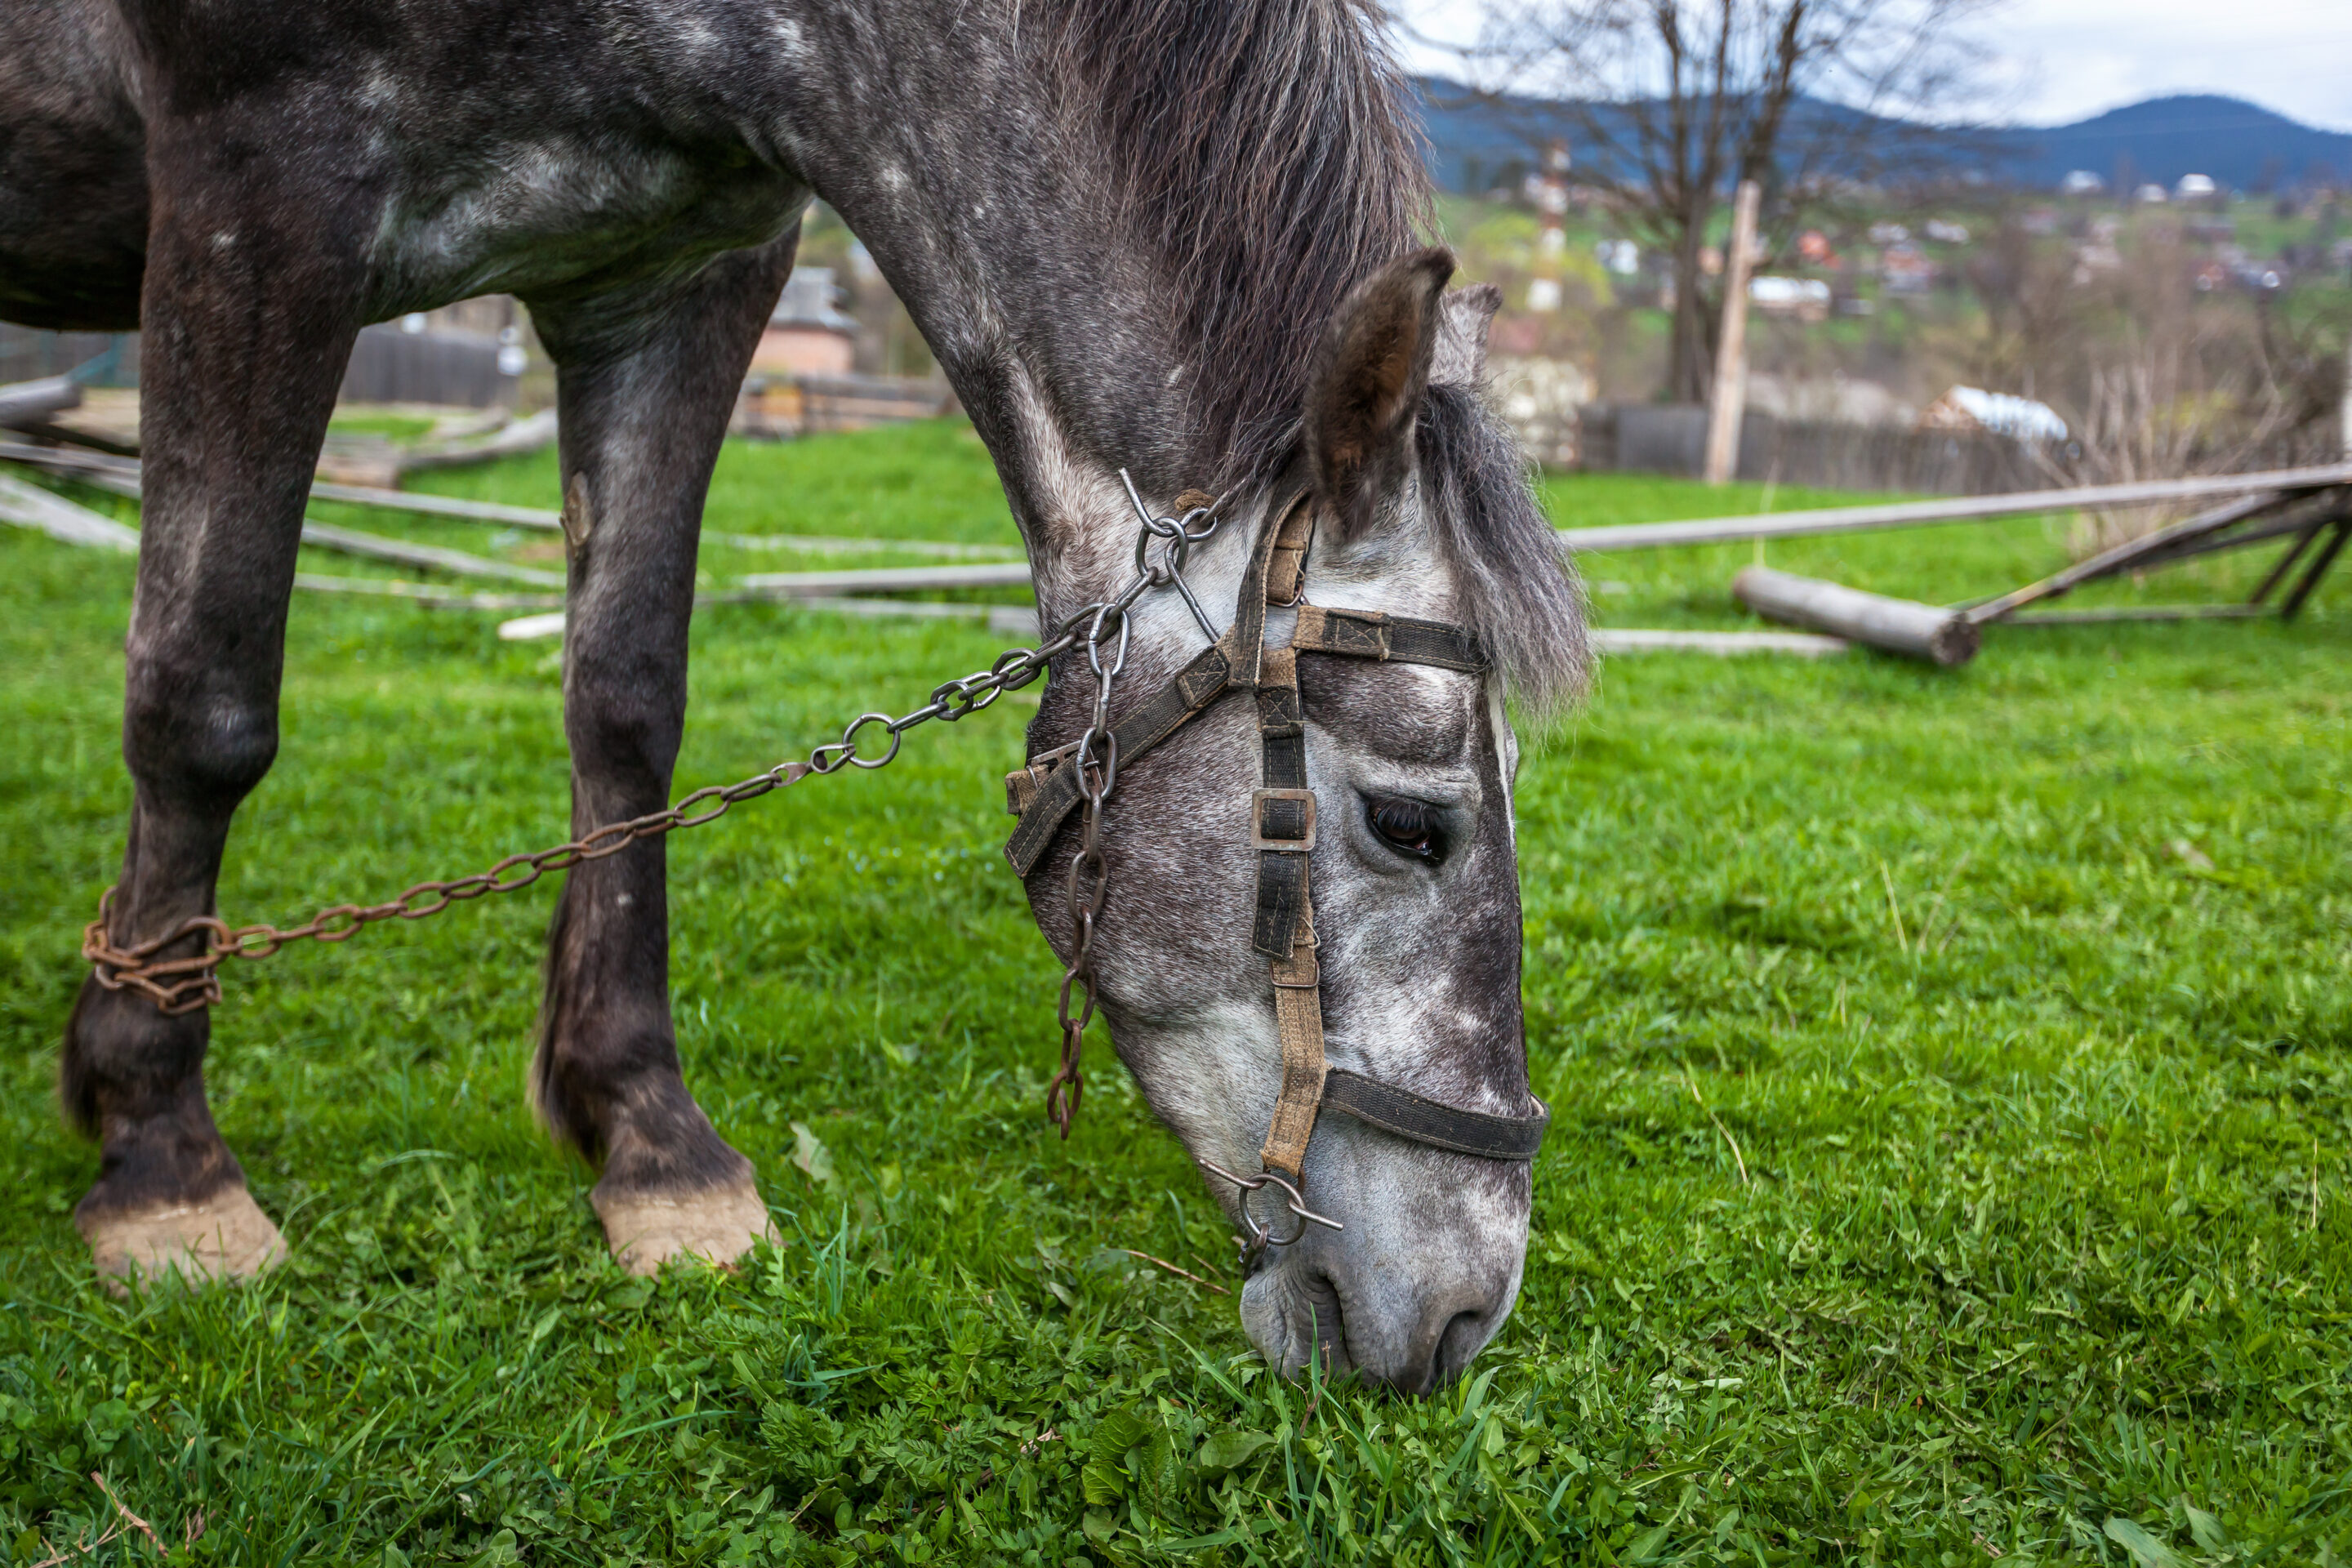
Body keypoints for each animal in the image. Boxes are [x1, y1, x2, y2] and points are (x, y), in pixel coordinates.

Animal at [1, 0, 1587, 1393]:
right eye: (1412, 826)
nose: (1467, 1310)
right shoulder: (259, 201)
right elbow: (203, 693)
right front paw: (161, 1152)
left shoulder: (678, 273)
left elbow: (627, 698)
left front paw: (649, 1140)